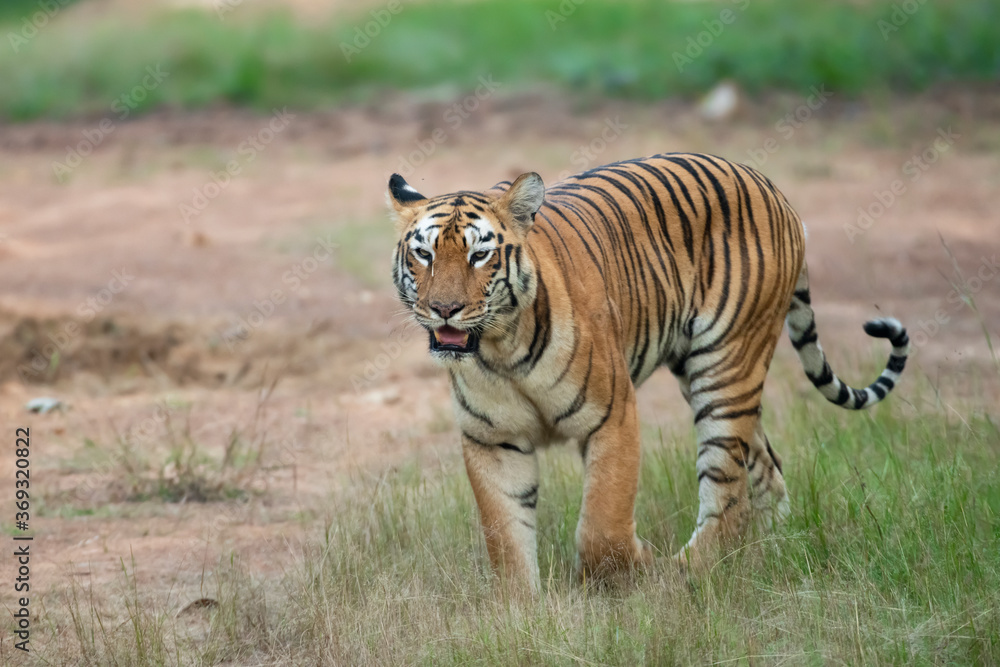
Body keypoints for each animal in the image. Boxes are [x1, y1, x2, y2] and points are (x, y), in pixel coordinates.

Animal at [388, 152, 908, 592]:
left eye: (479, 255)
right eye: (424, 254)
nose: (445, 309)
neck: (500, 349)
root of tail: (772, 187)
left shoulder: (612, 415)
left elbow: (602, 526)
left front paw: (639, 565)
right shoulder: (491, 439)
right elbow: (505, 537)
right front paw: (521, 613)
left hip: (725, 369)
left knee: (726, 487)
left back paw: (685, 573)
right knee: (764, 470)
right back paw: (774, 551)